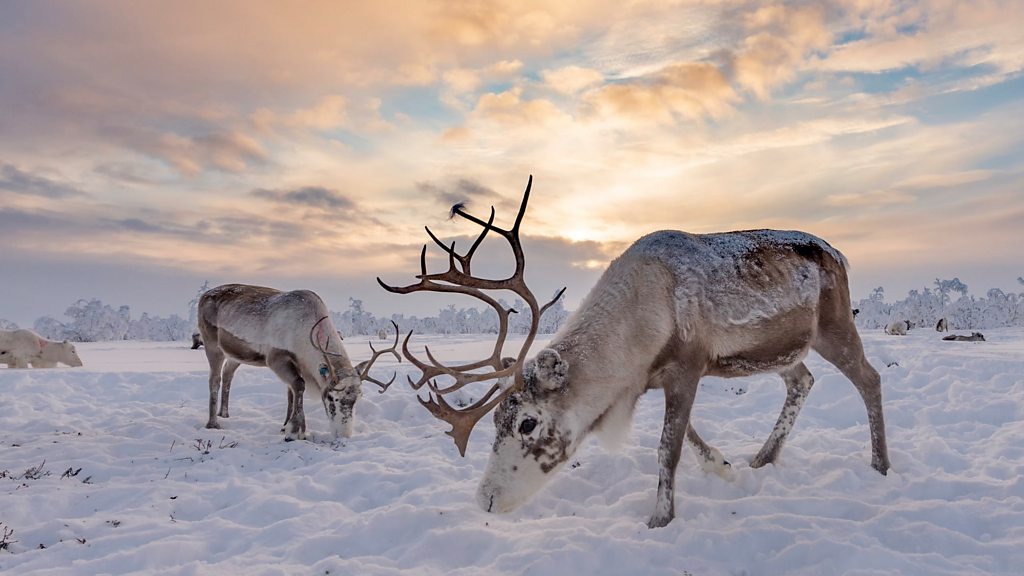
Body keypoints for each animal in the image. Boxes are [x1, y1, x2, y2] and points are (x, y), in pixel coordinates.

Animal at [197, 284, 399, 440]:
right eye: (331, 398)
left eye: (358, 398)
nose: (344, 435)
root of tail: (203, 295)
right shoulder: (276, 358)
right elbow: (299, 385)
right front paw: (295, 430)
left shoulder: (299, 363)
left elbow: (291, 392)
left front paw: (285, 425)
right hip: (212, 344)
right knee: (214, 380)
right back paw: (213, 422)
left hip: (236, 355)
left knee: (228, 374)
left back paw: (224, 413)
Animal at [378, 176, 890, 528]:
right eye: (496, 421)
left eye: (527, 422)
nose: (486, 499)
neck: (638, 321)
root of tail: (839, 253)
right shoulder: (650, 378)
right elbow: (689, 438)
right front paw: (723, 465)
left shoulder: (687, 366)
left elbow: (668, 448)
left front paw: (659, 520)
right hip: (784, 350)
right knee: (802, 380)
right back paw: (762, 459)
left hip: (835, 326)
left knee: (870, 378)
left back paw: (880, 465)